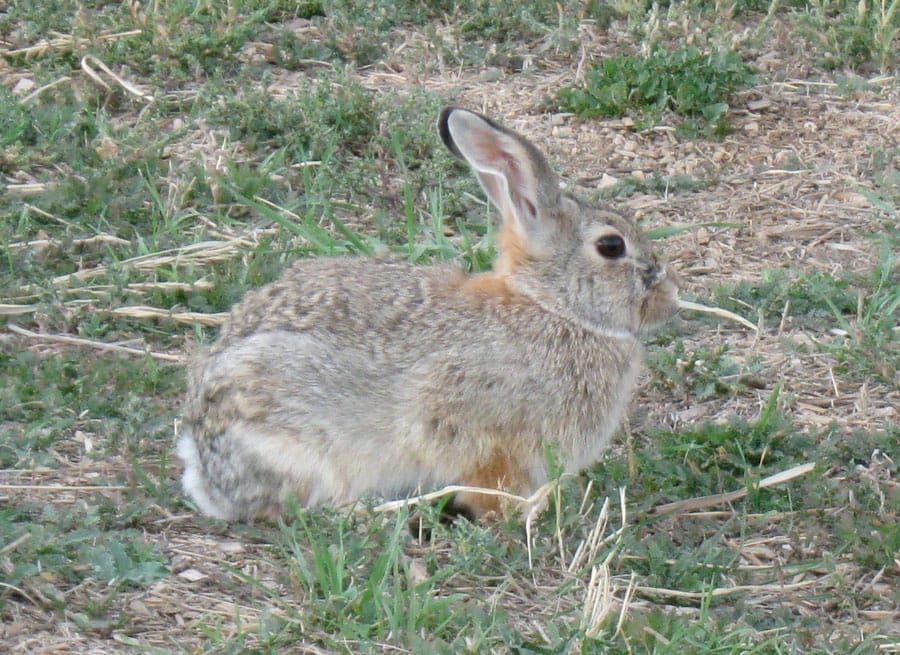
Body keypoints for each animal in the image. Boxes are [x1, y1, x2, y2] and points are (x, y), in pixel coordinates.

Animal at [178, 107, 679, 522]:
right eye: (611, 246)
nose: (670, 299)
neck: (552, 306)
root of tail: (204, 467)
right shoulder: (481, 433)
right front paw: (515, 517)